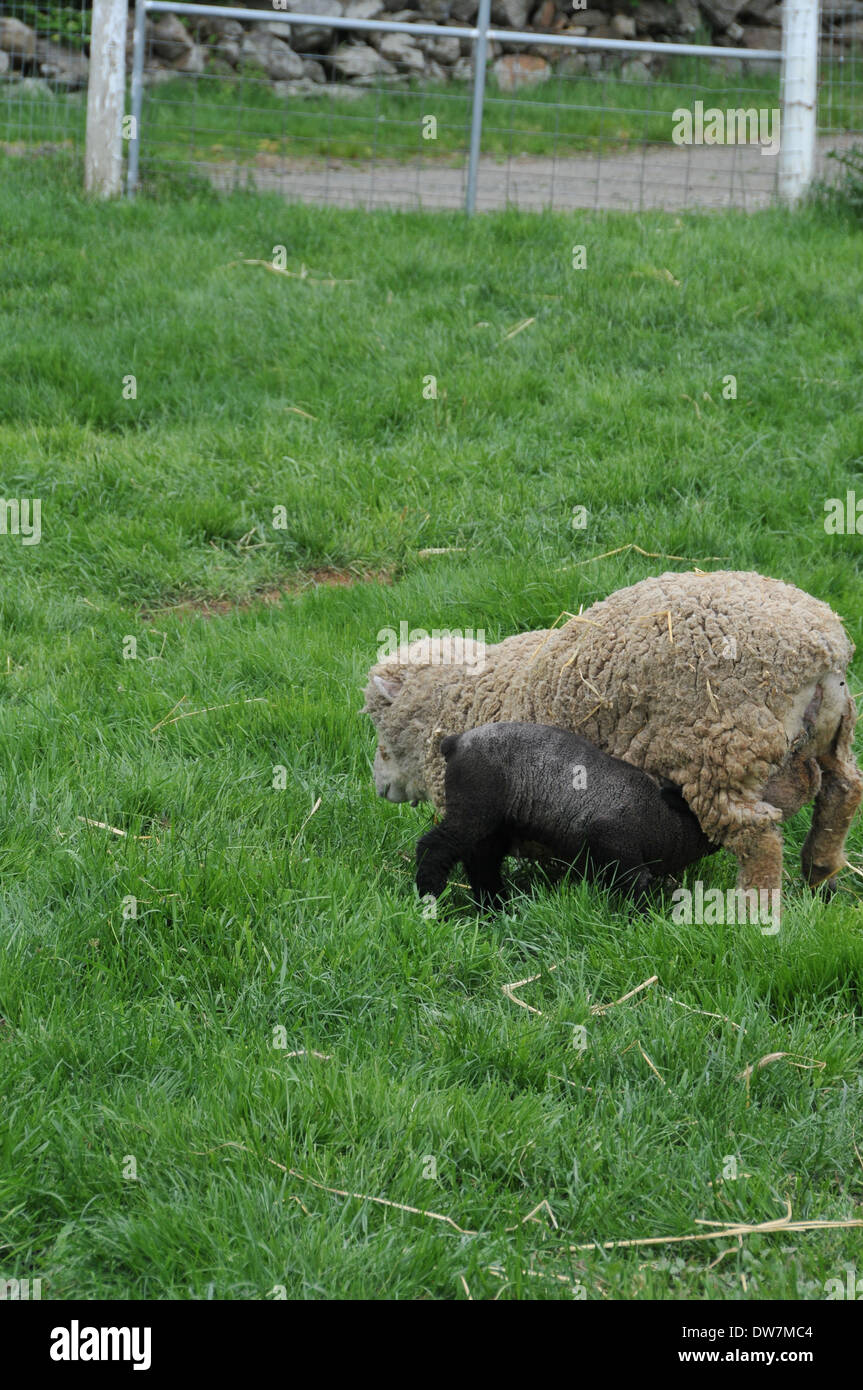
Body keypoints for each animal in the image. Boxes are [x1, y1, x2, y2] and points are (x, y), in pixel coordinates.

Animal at [415, 721, 718, 910]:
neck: (664, 820)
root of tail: (455, 742)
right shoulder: (614, 842)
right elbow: (636, 884)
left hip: (495, 823)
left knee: (481, 860)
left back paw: (495, 906)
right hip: (474, 806)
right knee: (435, 846)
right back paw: (431, 898)